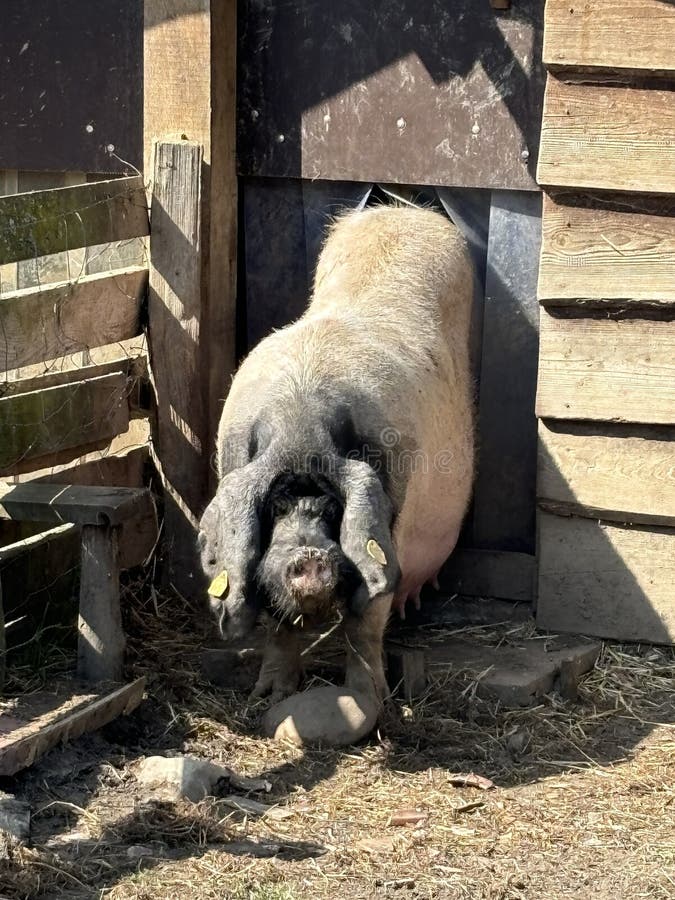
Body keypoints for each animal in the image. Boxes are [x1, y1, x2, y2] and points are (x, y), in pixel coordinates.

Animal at [198, 205, 475, 743]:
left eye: (332, 507)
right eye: (276, 507)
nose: (309, 558)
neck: (300, 427)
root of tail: (404, 210)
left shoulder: (392, 526)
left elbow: (364, 626)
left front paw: (369, 706)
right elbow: (277, 627)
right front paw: (269, 699)